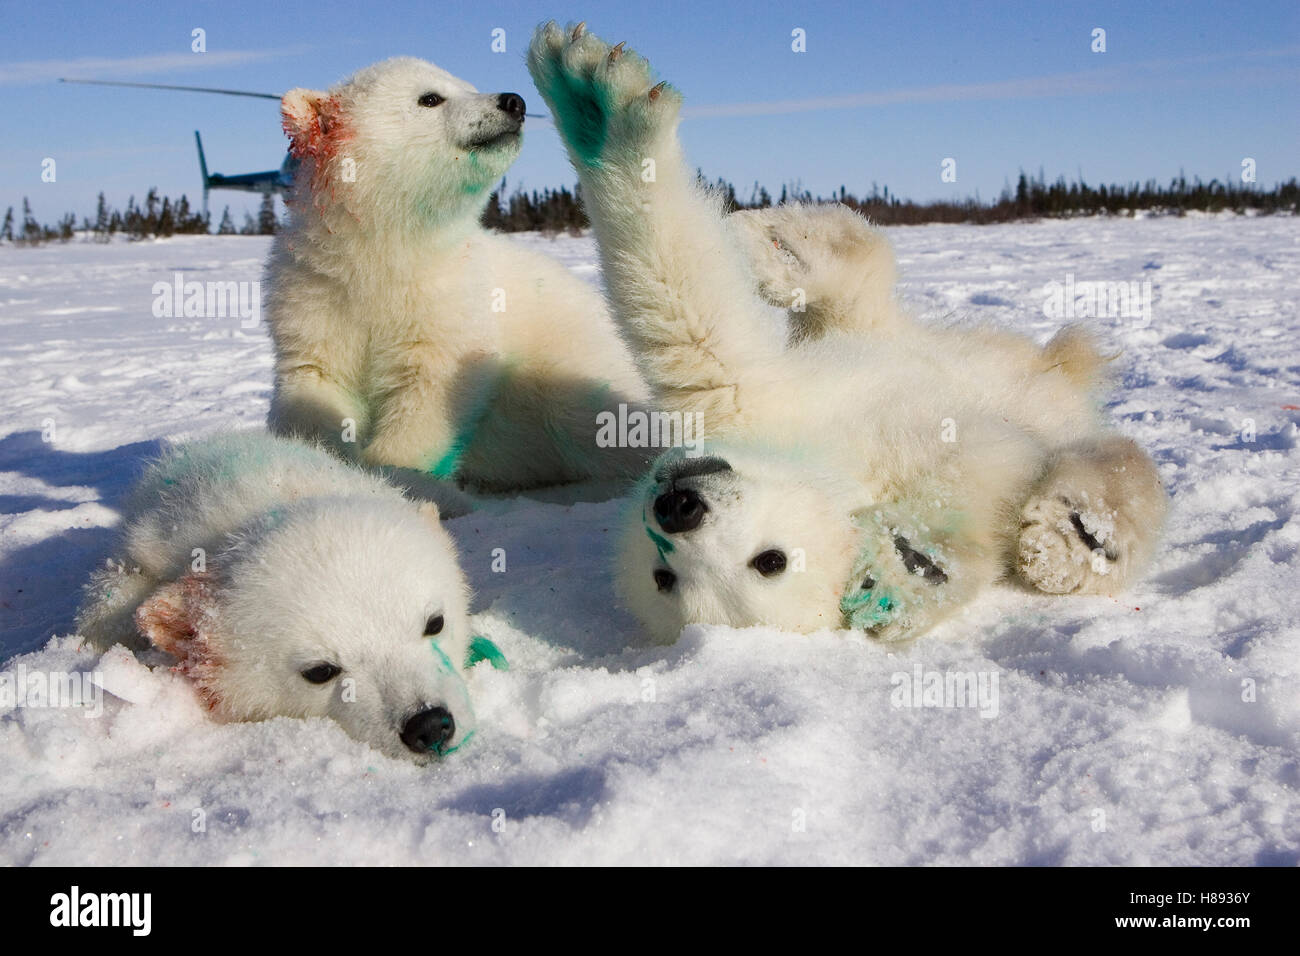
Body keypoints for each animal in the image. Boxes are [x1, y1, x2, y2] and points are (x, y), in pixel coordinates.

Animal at [526, 22, 1167, 644]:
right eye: (666, 577)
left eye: (770, 560)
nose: (678, 507)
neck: (835, 460)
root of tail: (1059, 370)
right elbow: (975, 488)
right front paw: (906, 570)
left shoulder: (755, 406)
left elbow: (694, 319)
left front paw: (593, 101)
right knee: (1114, 460)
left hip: (891, 338)